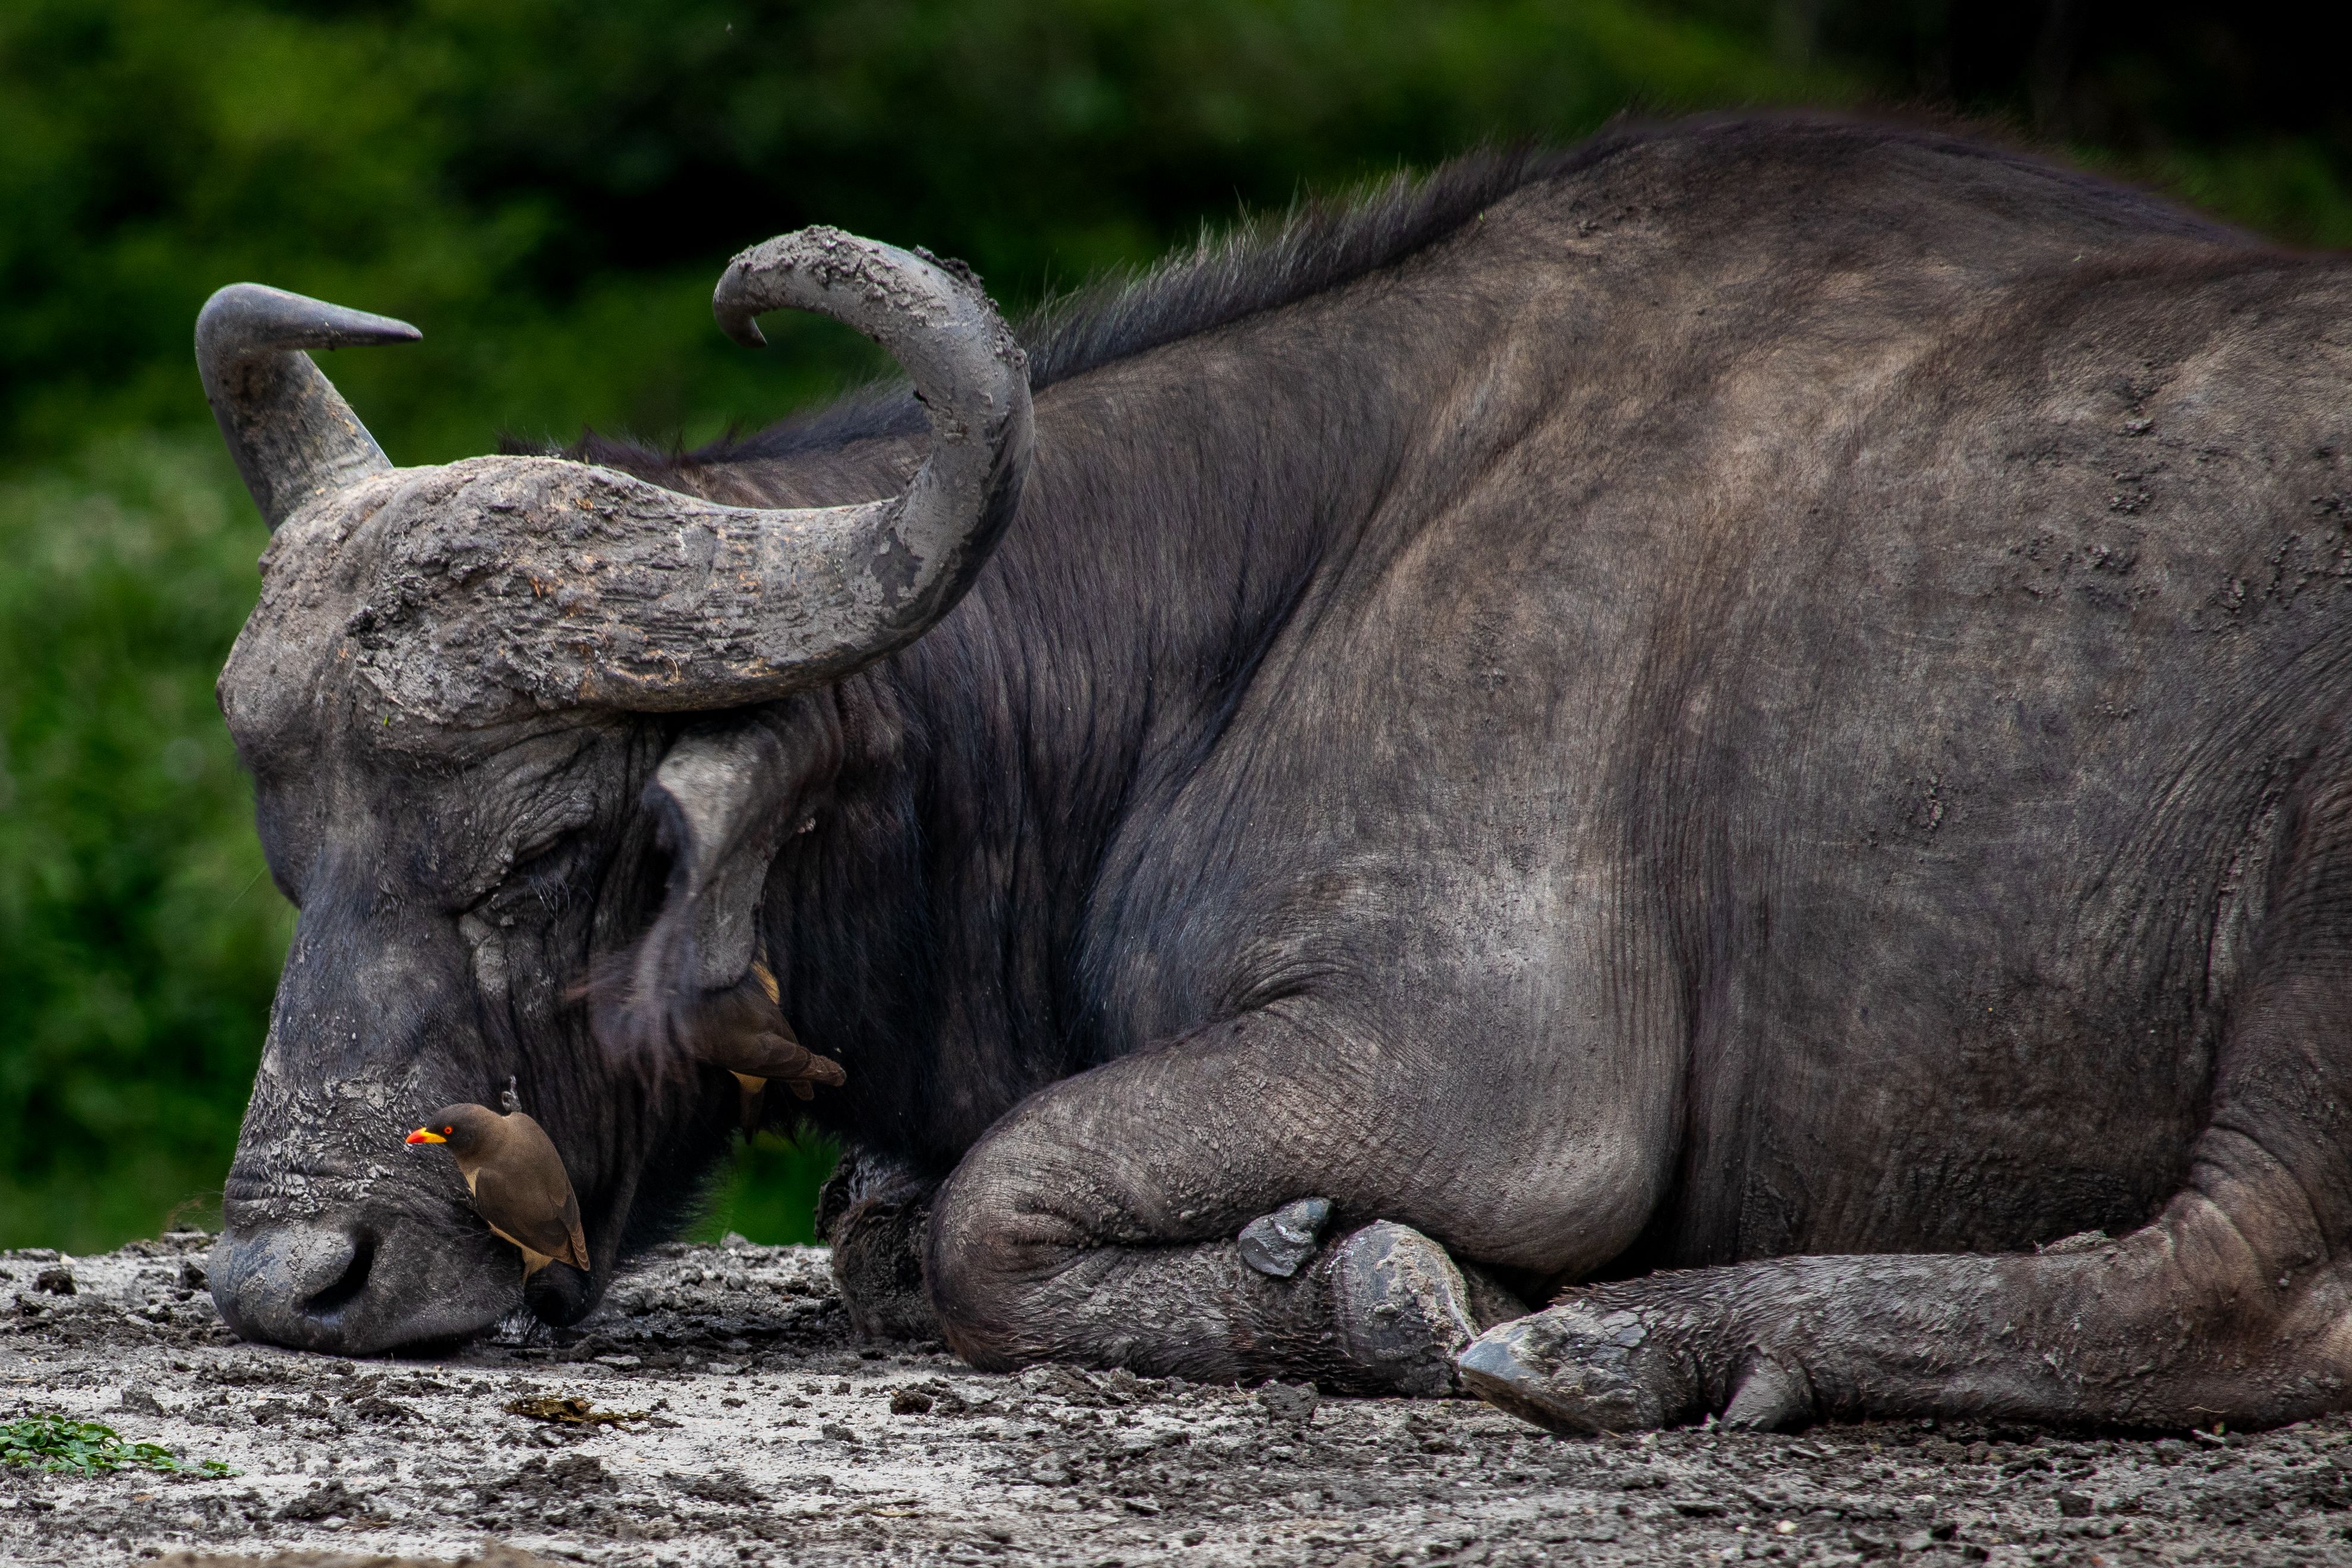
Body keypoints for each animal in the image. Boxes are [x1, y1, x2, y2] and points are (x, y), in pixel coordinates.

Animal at [202, 114, 2352, 1432]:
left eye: (550, 841)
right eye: (293, 852)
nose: (290, 1273)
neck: (1285, 571)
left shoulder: (1483, 1073)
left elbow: (989, 1211)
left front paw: (1378, 1281)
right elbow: (892, 1215)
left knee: (2223, 1282)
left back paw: (1644, 1334)